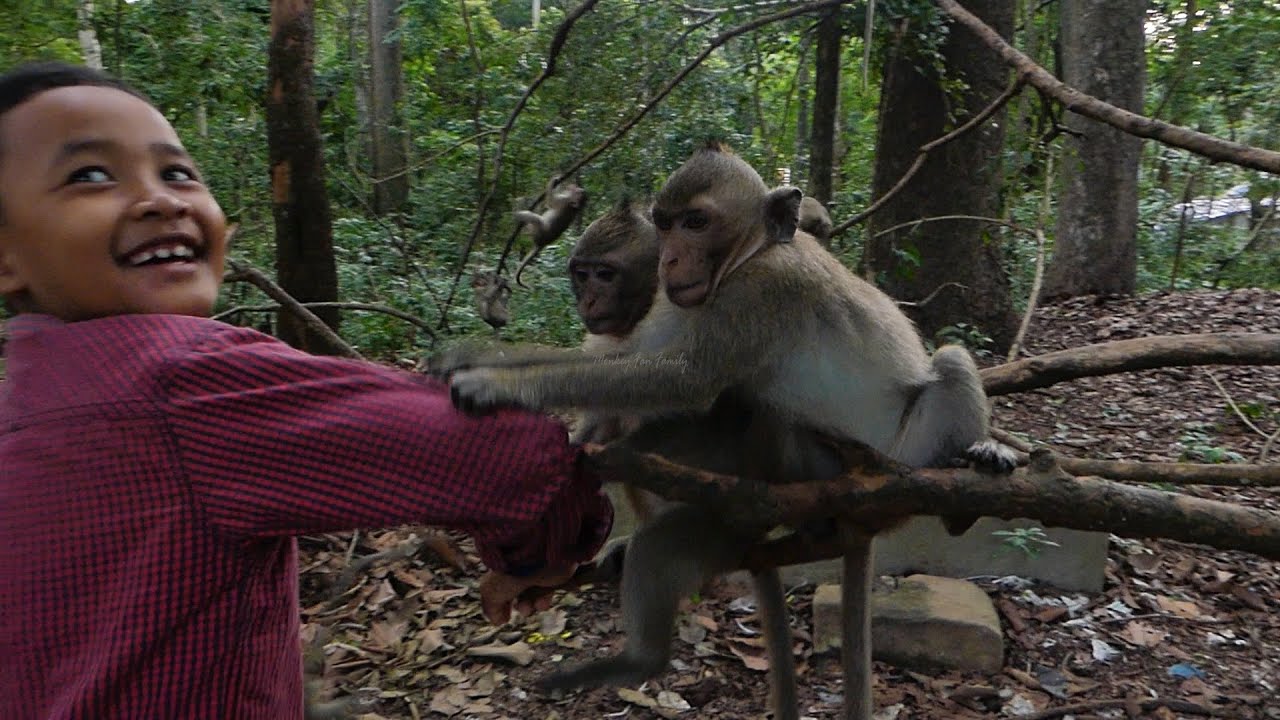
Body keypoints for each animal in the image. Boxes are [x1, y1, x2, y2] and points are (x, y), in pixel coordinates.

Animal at [436, 143, 1014, 718]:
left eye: (696, 222)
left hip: (896, 455)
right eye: (665, 225)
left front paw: (496, 384)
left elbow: (686, 381)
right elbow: (631, 374)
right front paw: (475, 359)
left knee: (948, 363)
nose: (670, 260)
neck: (753, 254)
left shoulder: (762, 291)